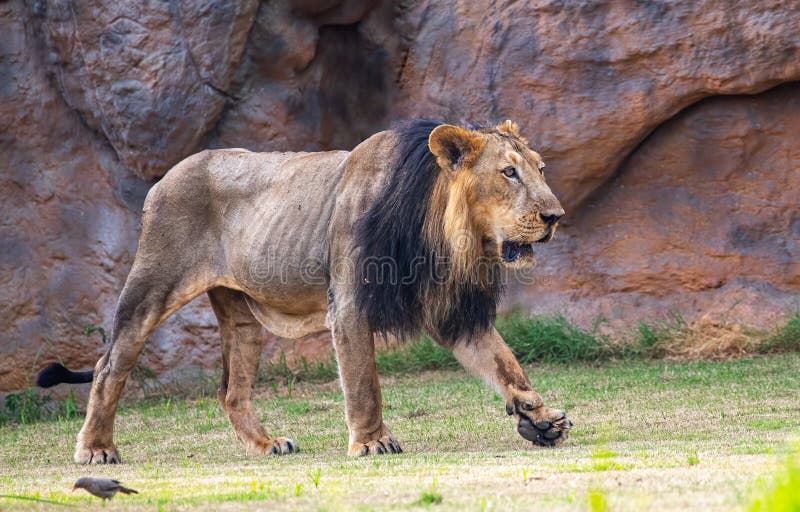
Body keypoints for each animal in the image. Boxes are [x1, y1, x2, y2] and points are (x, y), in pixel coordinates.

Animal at [46, 119, 571, 463]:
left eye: (540, 169)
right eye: (508, 172)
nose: (555, 216)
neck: (449, 235)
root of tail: (164, 177)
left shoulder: (455, 315)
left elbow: (504, 363)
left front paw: (539, 416)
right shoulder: (350, 303)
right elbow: (363, 382)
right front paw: (372, 442)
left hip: (241, 315)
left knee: (231, 391)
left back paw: (267, 445)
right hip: (152, 284)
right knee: (108, 366)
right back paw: (96, 450)